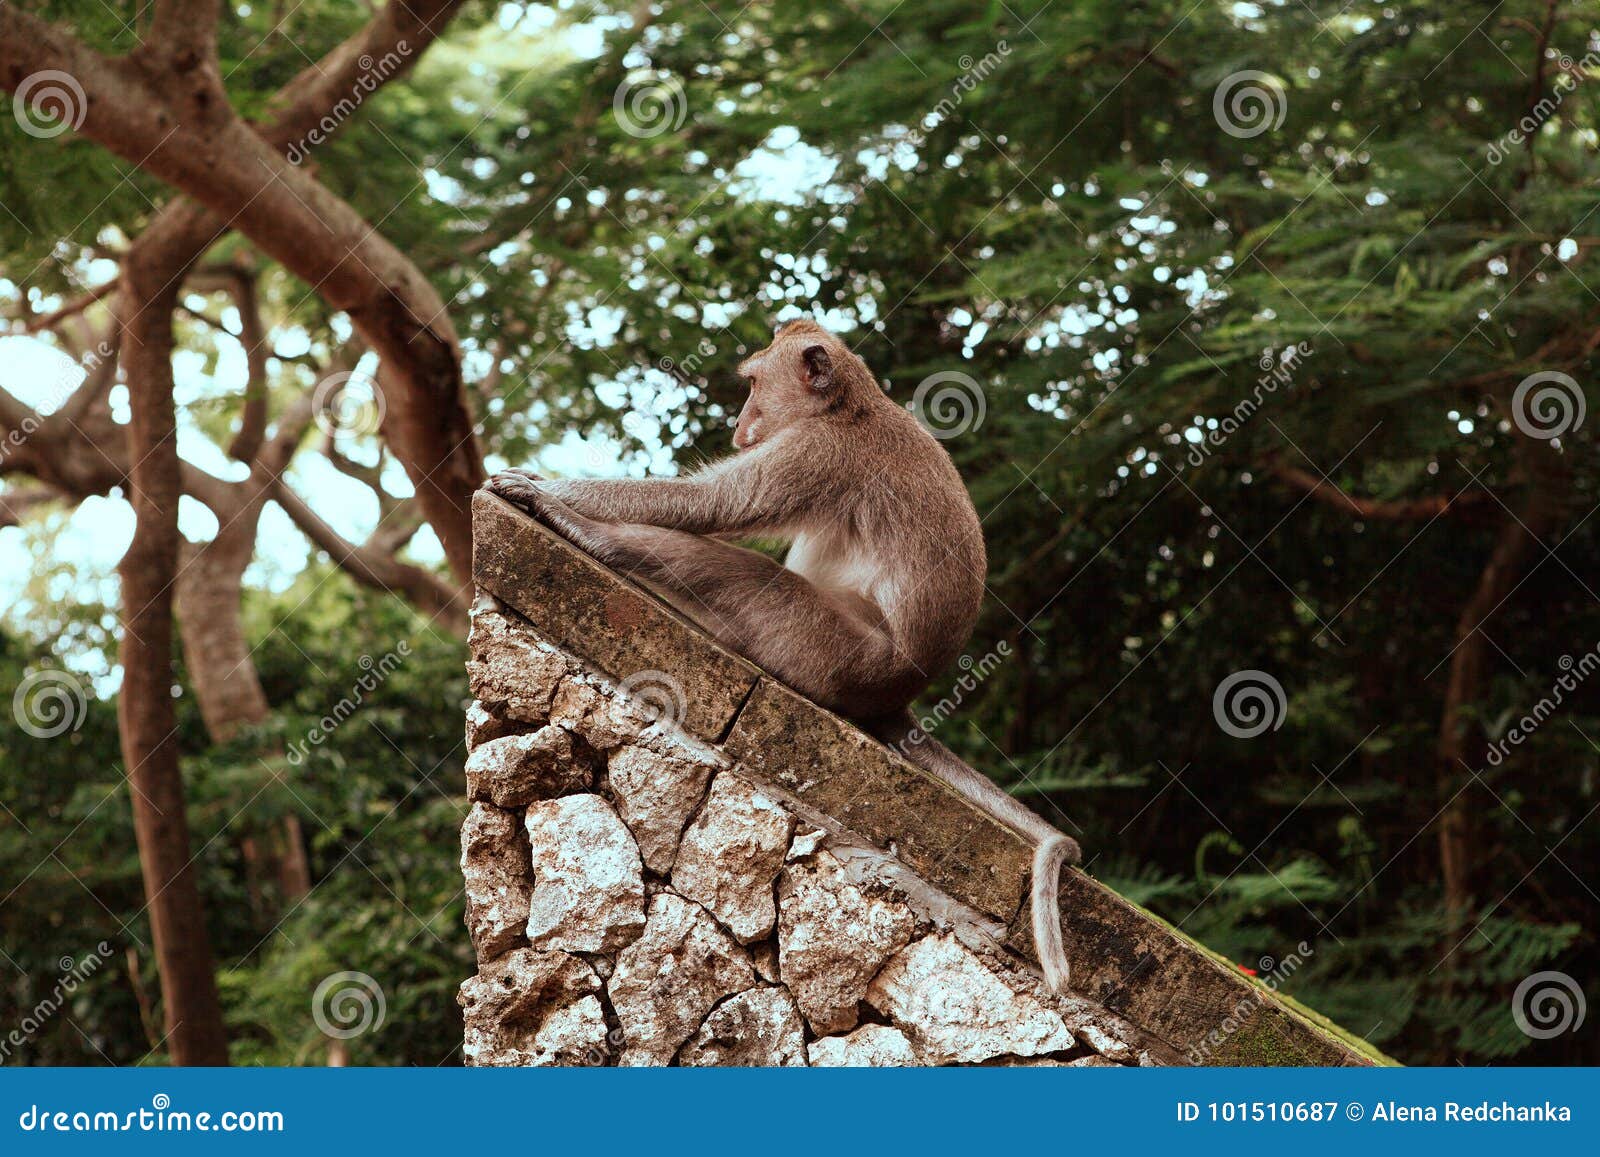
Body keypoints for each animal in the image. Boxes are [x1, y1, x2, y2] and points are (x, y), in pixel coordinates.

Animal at [485, 319, 1079, 992]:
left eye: (751, 385)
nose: (740, 425)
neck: (849, 408)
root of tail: (898, 695)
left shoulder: (816, 453)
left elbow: (706, 507)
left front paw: (548, 493)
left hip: (830, 650)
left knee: (746, 575)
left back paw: (594, 538)